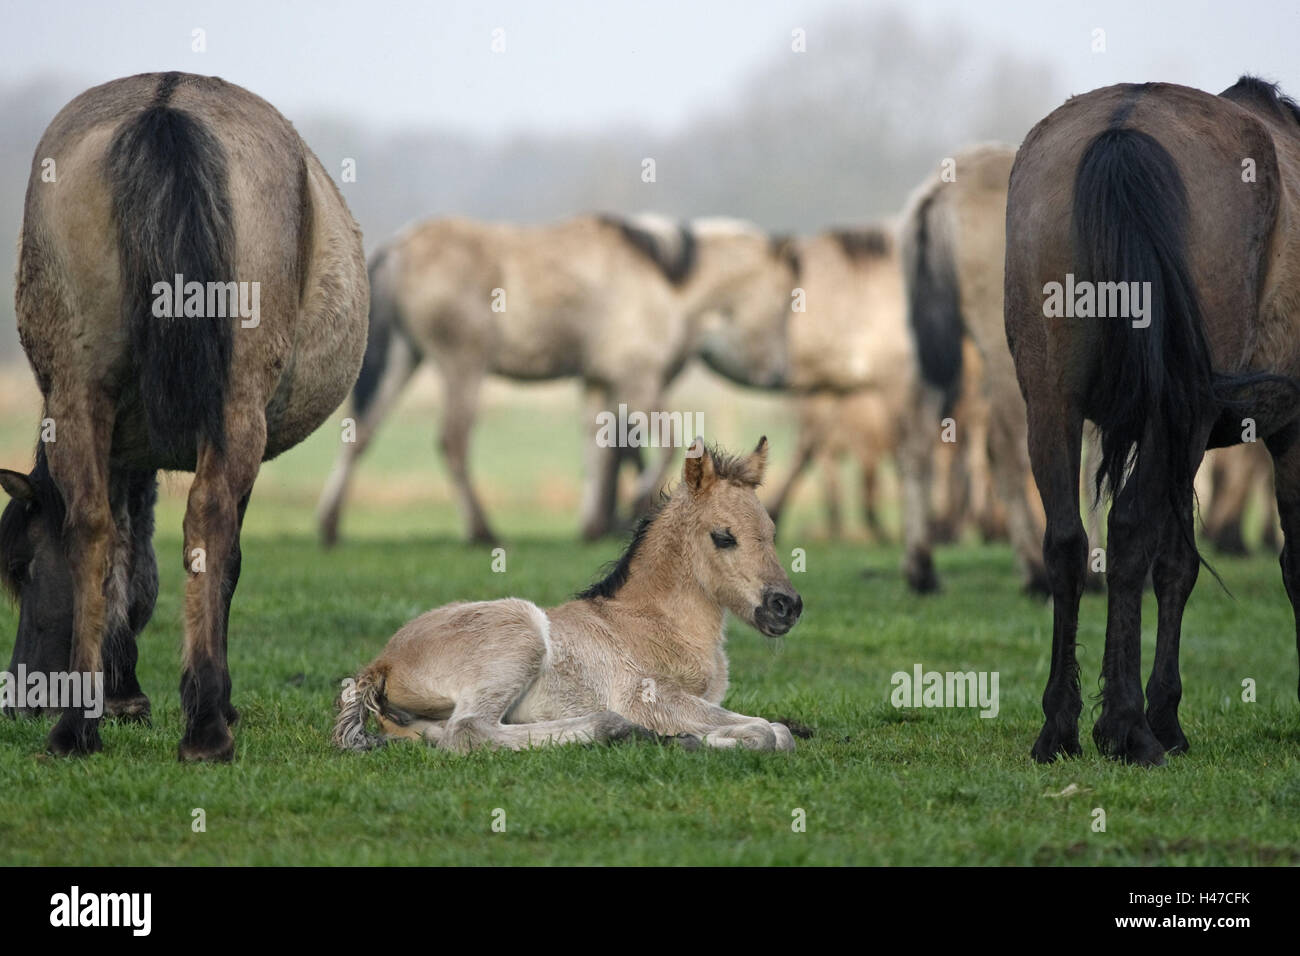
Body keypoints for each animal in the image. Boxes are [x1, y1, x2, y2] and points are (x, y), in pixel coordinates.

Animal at [0, 72, 368, 761]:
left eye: (25, 568)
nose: (19, 695)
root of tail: (165, 105)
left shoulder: (125, 452)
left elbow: (128, 555)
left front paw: (120, 693)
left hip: (81, 395)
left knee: (91, 526)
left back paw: (78, 729)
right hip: (233, 408)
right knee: (206, 523)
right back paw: (204, 725)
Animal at [315, 214, 798, 546]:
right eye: (782, 303)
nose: (780, 372)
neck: (663, 282)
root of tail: (401, 245)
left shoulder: (599, 385)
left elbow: (598, 455)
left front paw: (595, 526)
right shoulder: (638, 382)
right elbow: (667, 446)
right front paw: (632, 508)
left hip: (405, 359)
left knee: (361, 436)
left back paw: (330, 526)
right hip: (462, 366)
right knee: (453, 441)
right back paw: (482, 531)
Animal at [333, 437, 803, 752]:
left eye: (772, 532)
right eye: (723, 537)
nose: (786, 606)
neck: (651, 623)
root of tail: (382, 662)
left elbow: (773, 730)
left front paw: (689, 739)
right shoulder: (647, 697)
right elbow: (769, 731)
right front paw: (684, 738)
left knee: (438, 734)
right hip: (518, 634)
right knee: (468, 731)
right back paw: (612, 728)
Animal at [897, 144, 1050, 595]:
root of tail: (941, 190)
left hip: (930, 353)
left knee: (916, 440)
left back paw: (922, 568)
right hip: (1004, 349)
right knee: (1010, 449)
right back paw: (1037, 569)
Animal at [1006, 75, 1300, 765]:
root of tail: (1125, 124)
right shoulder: (1285, 433)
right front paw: (1161, 715)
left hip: (1052, 401)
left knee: (1067, 542)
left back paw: (1060, 727)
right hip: (1177, 418)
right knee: (1133, 534)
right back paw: (1127, 724)